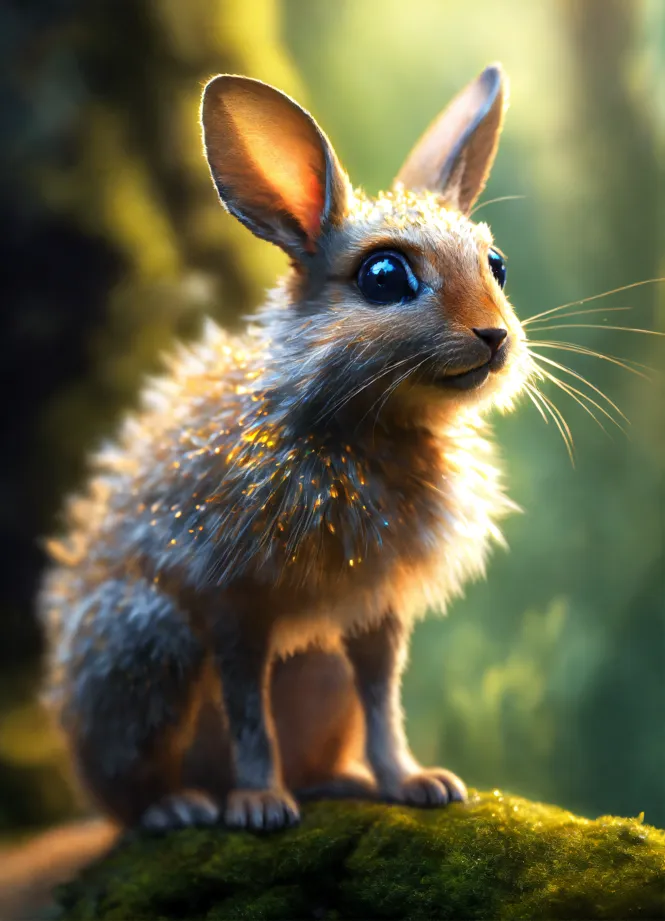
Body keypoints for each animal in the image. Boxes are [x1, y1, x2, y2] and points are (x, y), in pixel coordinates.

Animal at [38, 62, 532, 834]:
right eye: (384, 276)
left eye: (496, 264)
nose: (495, 336)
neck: (360, 426)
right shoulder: (231, 601)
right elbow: (248, 711)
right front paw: (261, 805)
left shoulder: (374, 609)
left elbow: (381, 699)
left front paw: (415, 782)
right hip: (145, 642)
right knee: (128, 797)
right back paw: (181, 806)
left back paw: (339, 781)